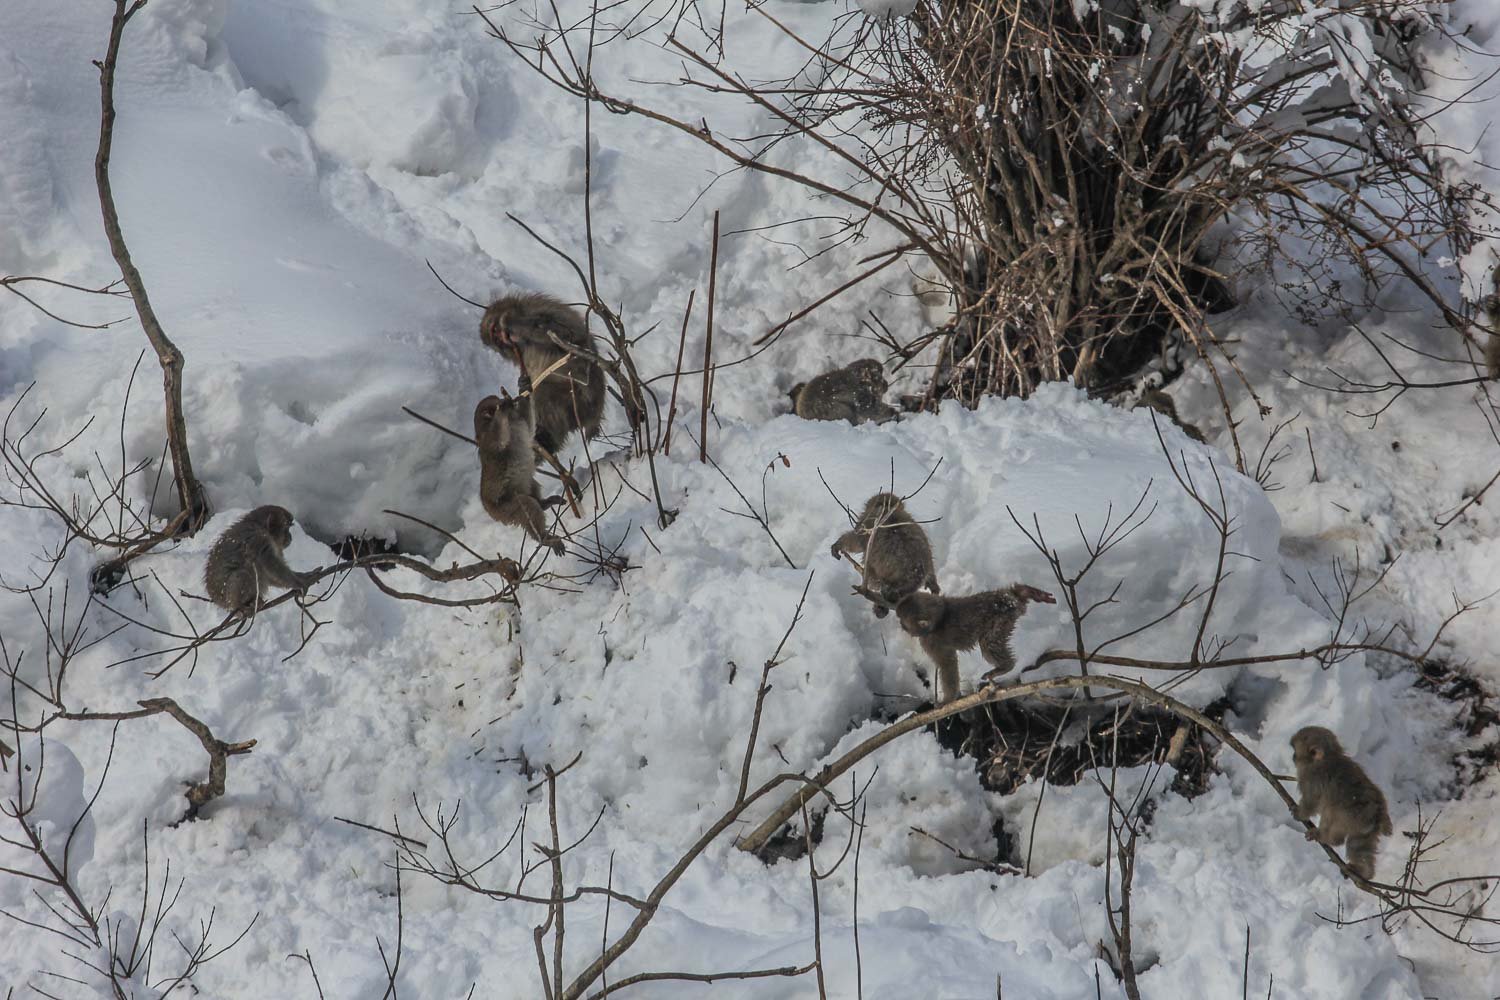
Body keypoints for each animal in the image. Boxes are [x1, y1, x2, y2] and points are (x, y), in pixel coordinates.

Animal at [475, 378, 567, 555]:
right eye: (494, 406)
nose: (507, 401)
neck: (510, 422)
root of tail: (488, 509)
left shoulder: (517, 422)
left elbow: (529, 427)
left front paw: (523, 387)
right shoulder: (489, 441)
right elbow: (499, 441)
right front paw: (503, 408)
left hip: (521, 489)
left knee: (531, 484)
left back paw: (544, 503)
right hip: (504, 507)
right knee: (526, 504)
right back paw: (543, 538)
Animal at [480, 292, 607, 454]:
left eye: (495, 330)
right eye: (497, 340)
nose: (503, 337)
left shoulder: (538, 309)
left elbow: (566, 334)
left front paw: (510, 322)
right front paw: (523, 383)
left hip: (585, 396)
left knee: (547, 391)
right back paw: (544, 441)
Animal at [893, 584, 1056, 703]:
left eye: (903, 621)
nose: (900, 624)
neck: (940, 617)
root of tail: (1009, 602)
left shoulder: (932, 642)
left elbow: (948, 664)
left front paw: (948, 700)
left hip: (1000, 621)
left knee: (988, 644)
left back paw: (1005, 666)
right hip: (1002, 602)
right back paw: (1023, 591)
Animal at [1290, 726, 1392, 881]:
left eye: (1296, 750)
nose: (1293, 757)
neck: (1329, 757)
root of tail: (1379, 813)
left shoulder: (1311, 779)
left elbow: (1311, 801)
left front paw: (1299, 814)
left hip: (1351, 818)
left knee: (1332, 812)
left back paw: (1326, 837)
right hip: (1363, 829)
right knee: (1359, 846)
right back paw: (1365, 873)